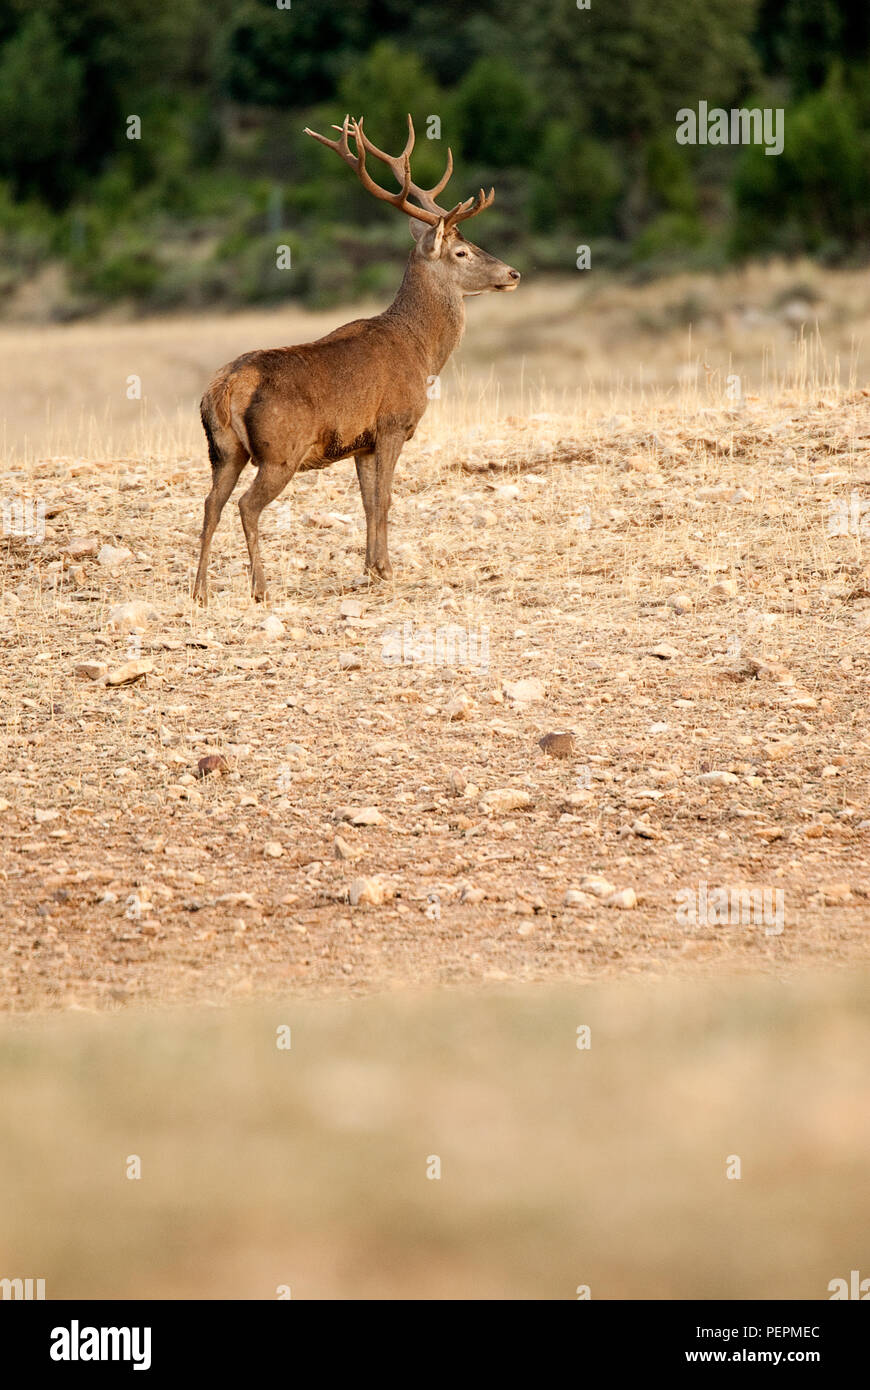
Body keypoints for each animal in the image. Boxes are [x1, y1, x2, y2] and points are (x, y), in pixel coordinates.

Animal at [193, 113, 520, 604]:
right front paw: (386, 569)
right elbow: (385, 498)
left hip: (223, 450)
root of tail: (228, 386)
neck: (422, 352)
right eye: (461, 251)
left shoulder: (360, 443)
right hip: (280, 450)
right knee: (247, 505)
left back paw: (200, 591)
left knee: (211, 502)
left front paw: (371, 569)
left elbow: (367, 500)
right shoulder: (392, 423)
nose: (513, 273)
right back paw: (260, 588)